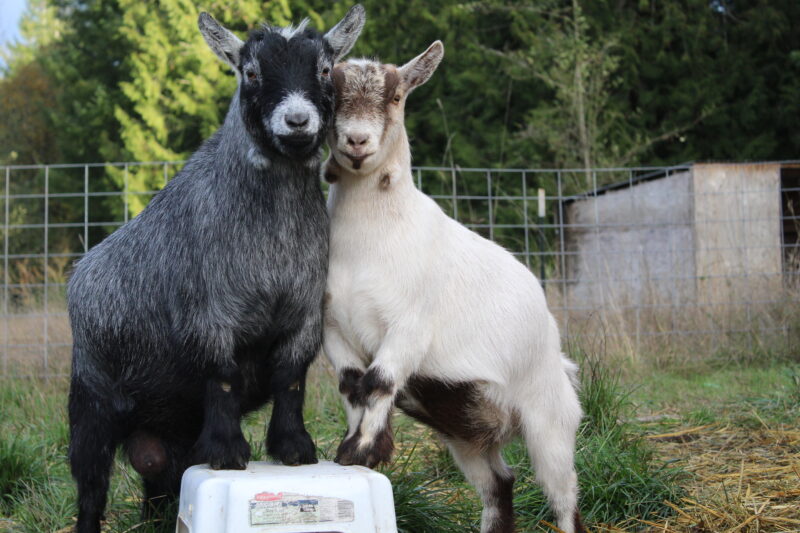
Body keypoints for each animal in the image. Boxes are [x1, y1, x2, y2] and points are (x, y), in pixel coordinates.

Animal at [66, 7, 365, 533]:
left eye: (326, 69)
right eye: (251, 72)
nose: (296, 120)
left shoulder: (304, 316)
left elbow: (290, 379)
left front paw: (295, 449)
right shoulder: (209, 318)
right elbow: (222, 378)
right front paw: (227, 455)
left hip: (169, 430)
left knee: (158, 478)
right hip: (91, 403)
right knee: (91, 486)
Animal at [322, 43, 587, 533]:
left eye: (396, 97)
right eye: (331, 96)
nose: (356, 142)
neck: (366, 245)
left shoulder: (409, 326)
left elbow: (379, 382)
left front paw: (365, 451)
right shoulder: (333, 327)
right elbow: (352, 386)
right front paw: (351, 451)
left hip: (549, 420)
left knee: (564, 499)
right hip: (466, 431)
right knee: (500, 483)